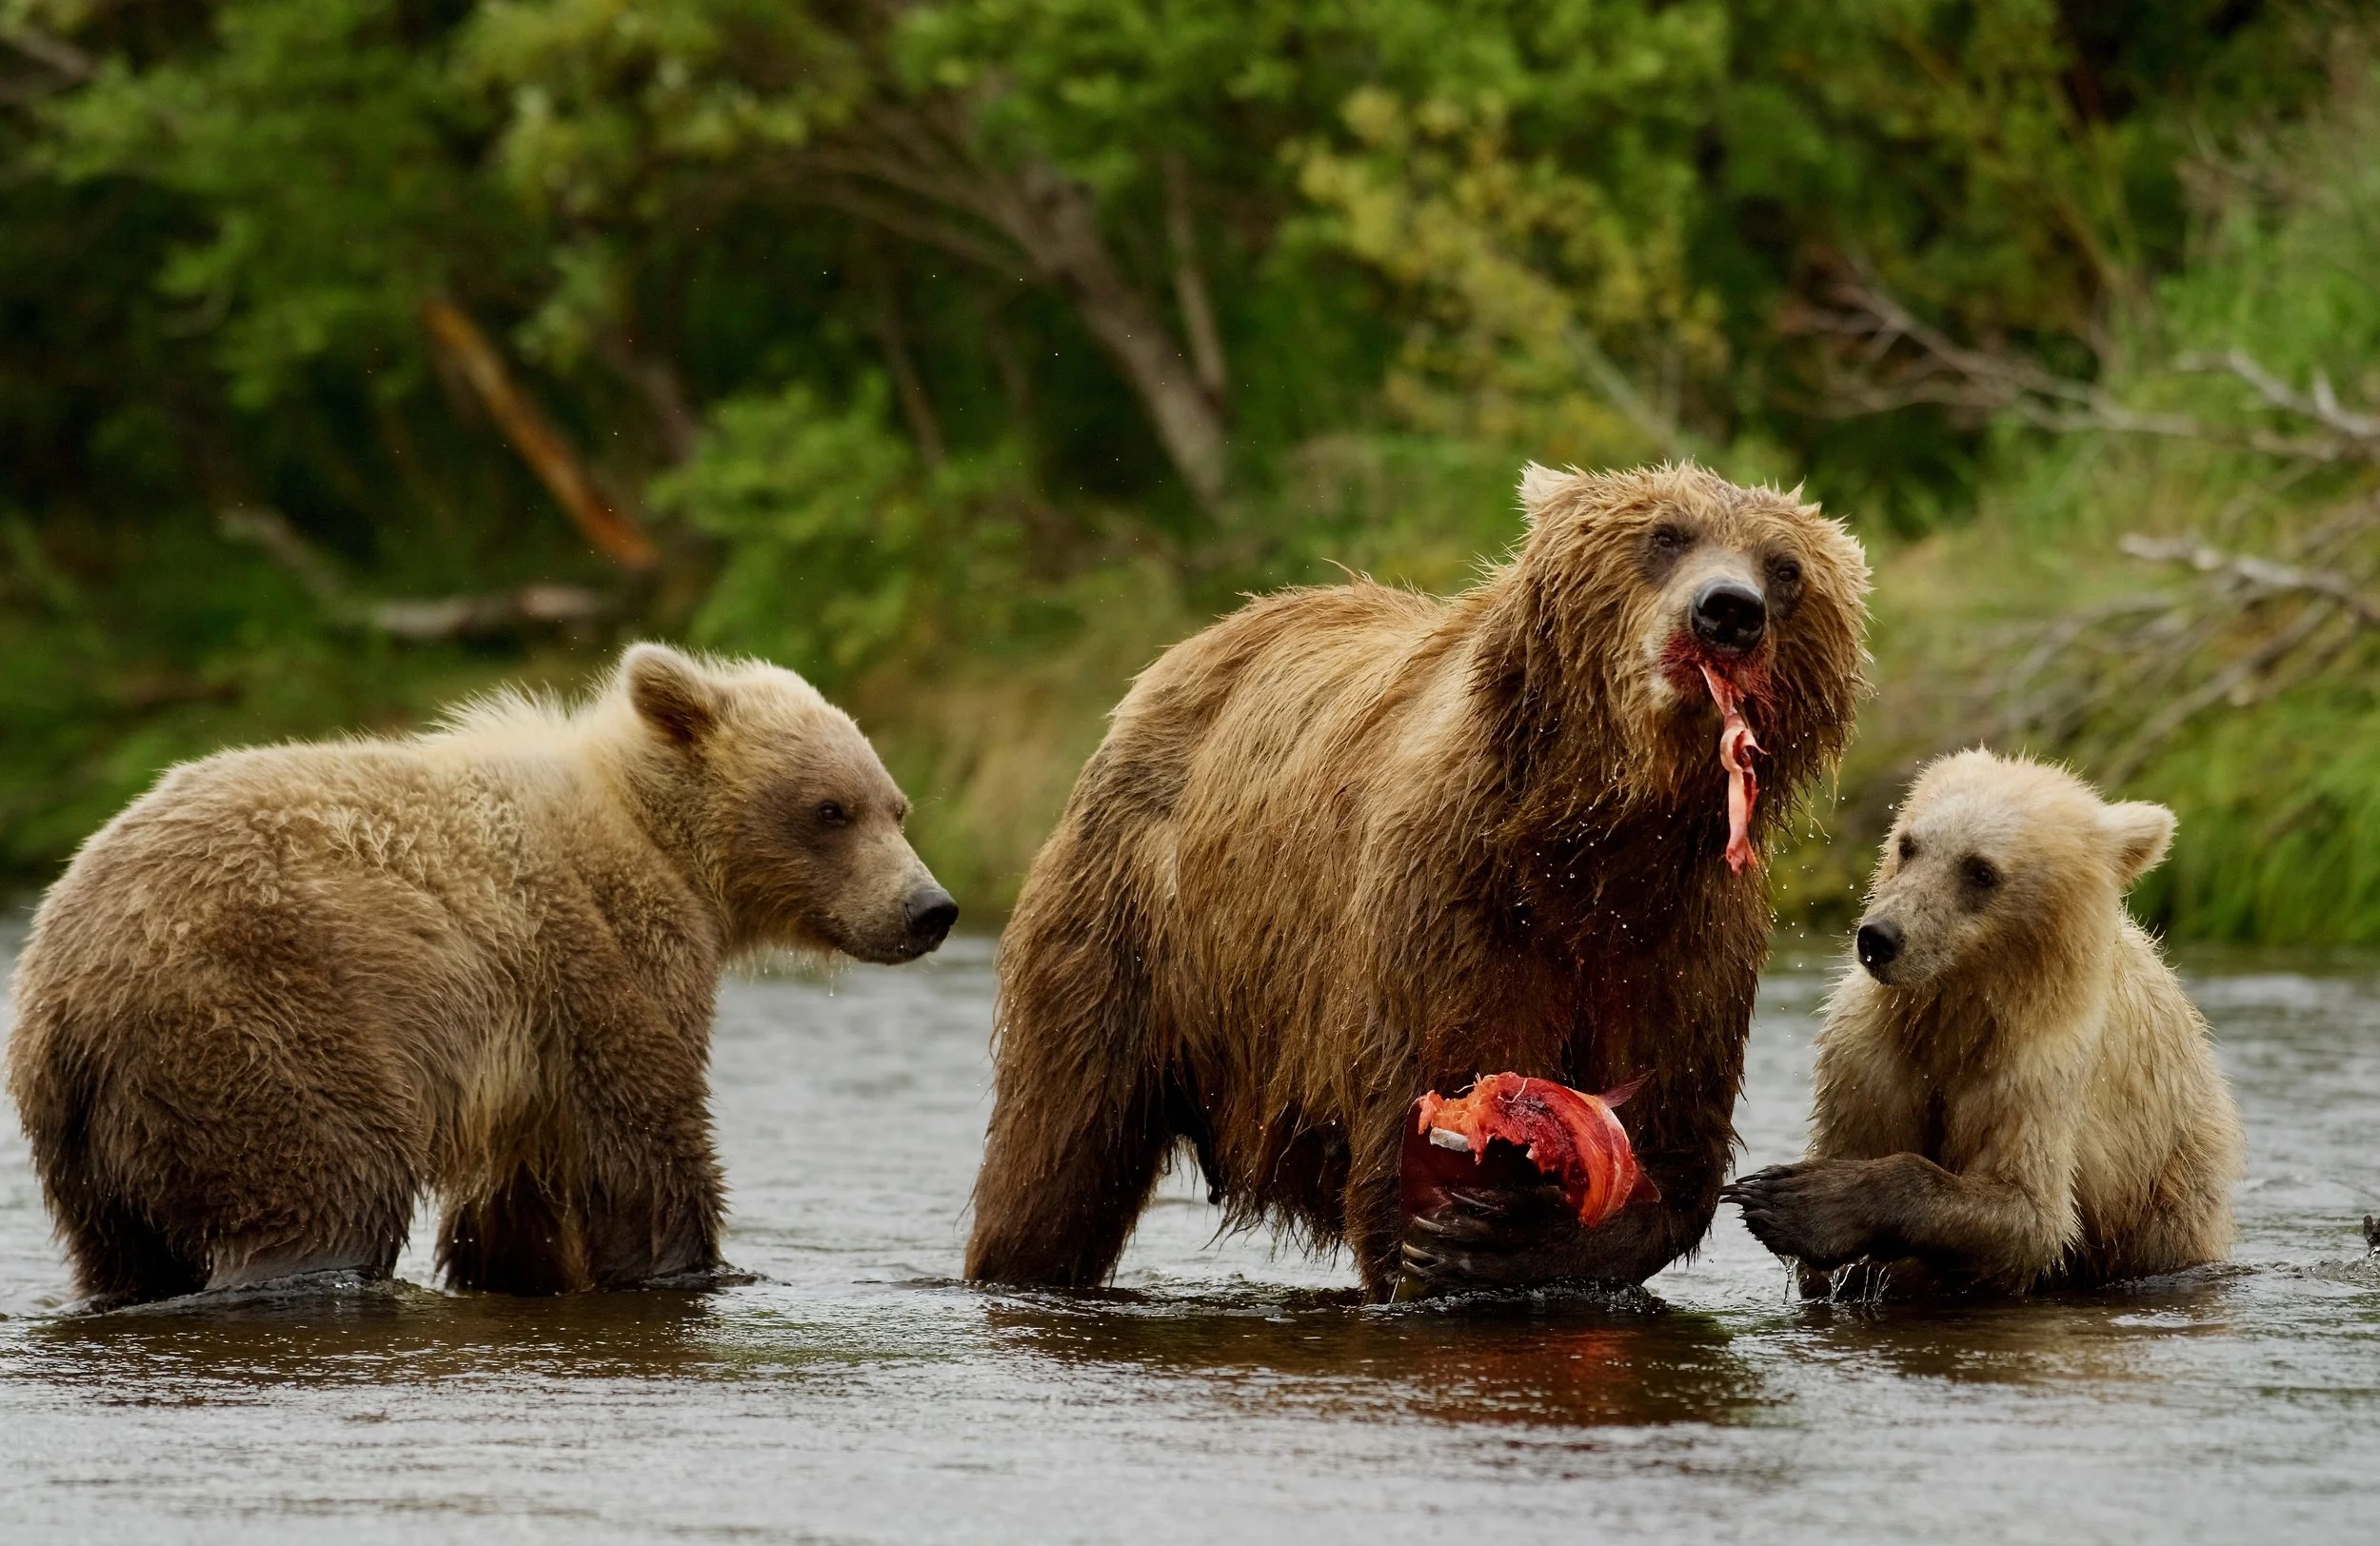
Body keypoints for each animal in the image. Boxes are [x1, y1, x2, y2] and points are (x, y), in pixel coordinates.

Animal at [6, 643, 957, 1307]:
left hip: (91, 1146)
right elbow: (645, 1136)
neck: (669, 851)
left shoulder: (524, 1054)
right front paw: (691, 1264)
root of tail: (66, 990)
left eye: (896, 806)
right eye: (830, 809)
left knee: (121, 1252)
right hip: (264, 1023)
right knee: (325, 1189)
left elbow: (521, 1194)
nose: (930, 908)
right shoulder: (601, 959)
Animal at [964, 462, 1870, 1300]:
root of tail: (1183, 652)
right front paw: (1452, 1238)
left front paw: (1511, 1235)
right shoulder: (1453, 905)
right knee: (1059, 1150)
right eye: (1666, 535)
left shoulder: (1679, 939)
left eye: (1785, 567)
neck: (1591, 840)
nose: (1729, 611)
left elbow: (1671, 1146)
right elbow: (1421, 1120)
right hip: (1129, 925)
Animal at [1725, 750, 2243, 1296]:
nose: (1879, 937)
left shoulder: (2037, 1074)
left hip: (2167, 1184)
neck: (1959, 1012)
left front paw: (1797, 1201)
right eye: (1908, 845)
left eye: (1980, 870)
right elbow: (1859, 1137)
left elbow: (2029, 1215)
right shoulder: (1867, 1057)